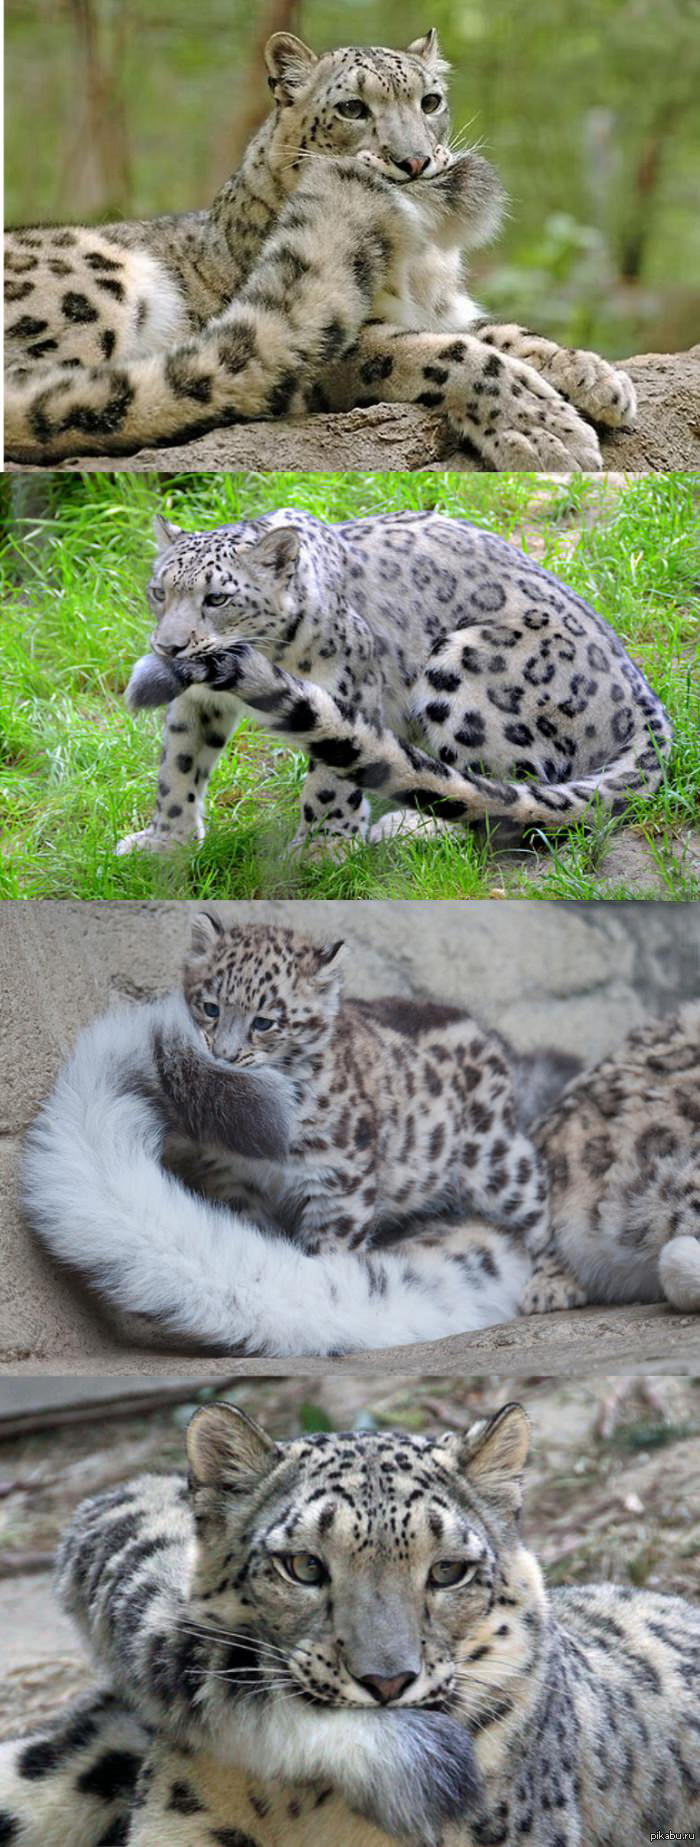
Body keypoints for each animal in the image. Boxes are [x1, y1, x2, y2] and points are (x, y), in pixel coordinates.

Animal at [4, 29, 637, 466]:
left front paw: (595, 375)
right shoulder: (355, 345)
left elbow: (504, 333)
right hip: (94, 287)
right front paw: (545, 431)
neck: (422, 262)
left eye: (430, 101)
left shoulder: (447, 309)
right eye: (353, 108)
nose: (414, 161)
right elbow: (449, 352)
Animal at [119, 506, 672, 862]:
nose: (168, 647)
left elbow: (329, 778)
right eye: (158, 591)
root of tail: (642, 696)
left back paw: (408, 828)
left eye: (217, 598)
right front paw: (164, 842)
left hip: (462, 671)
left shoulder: (344, 683)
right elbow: (179, 765)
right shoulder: (197, 697)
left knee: (506, 794)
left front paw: (321, 847)